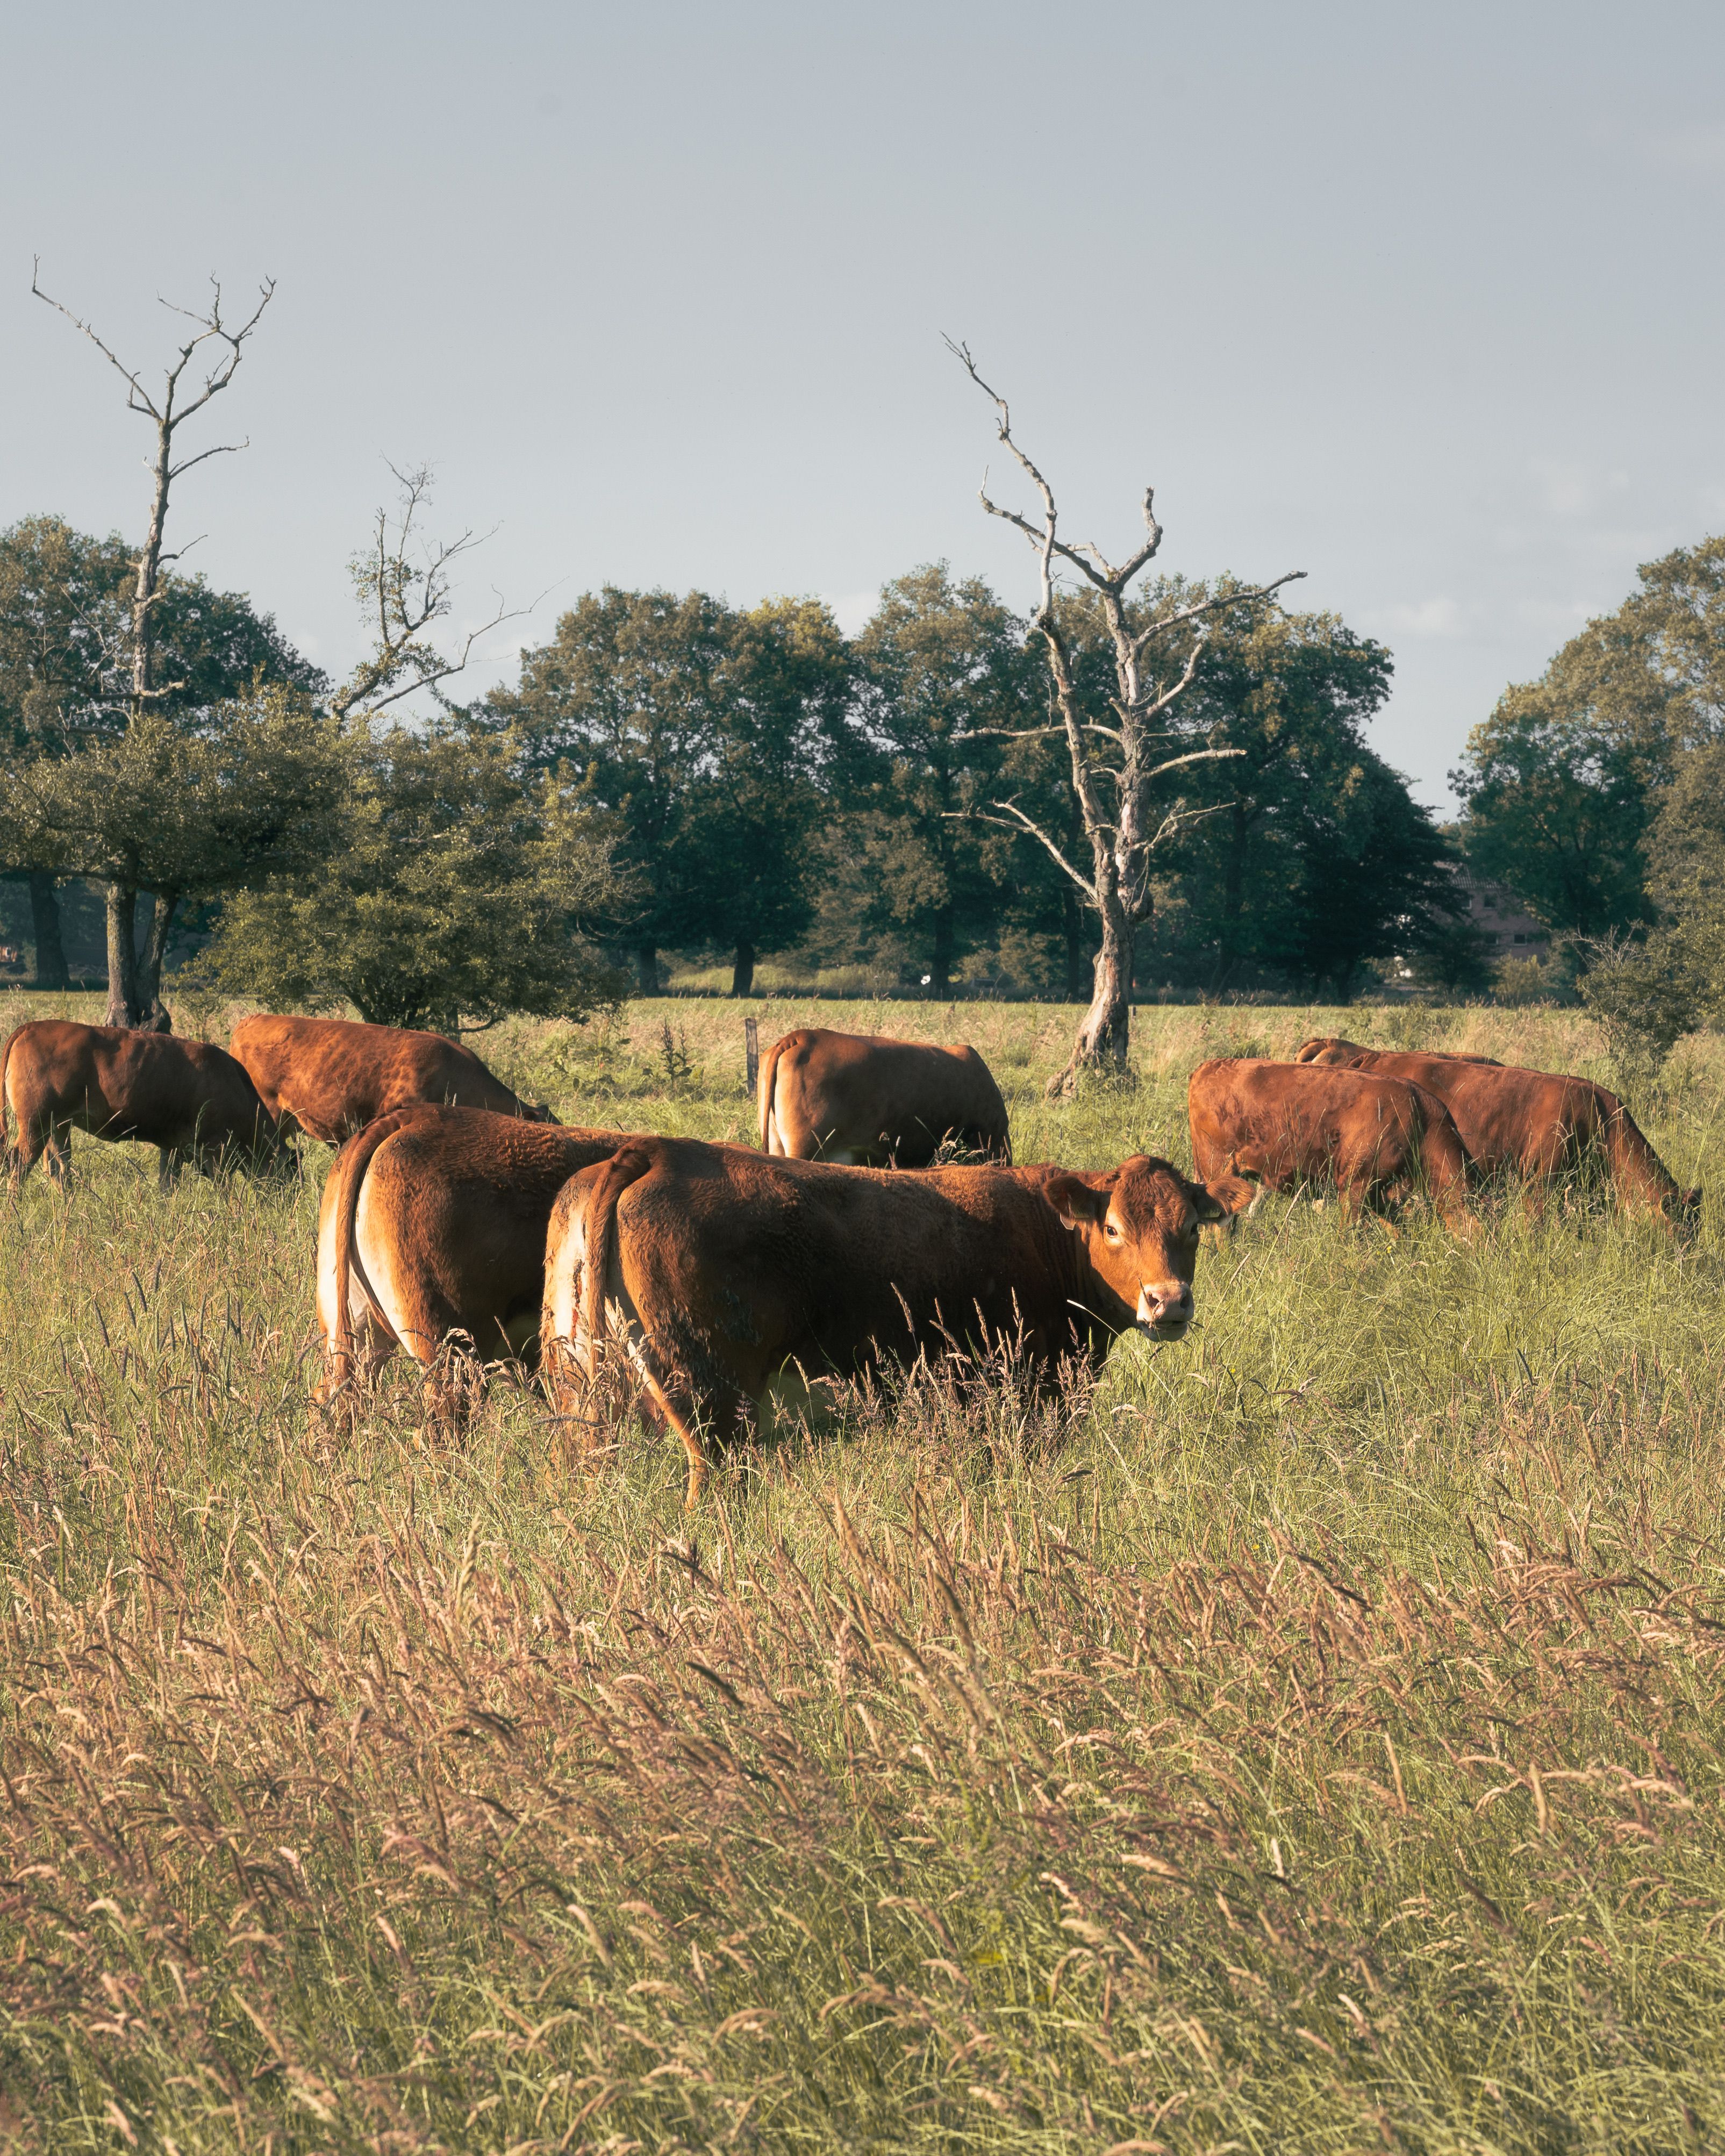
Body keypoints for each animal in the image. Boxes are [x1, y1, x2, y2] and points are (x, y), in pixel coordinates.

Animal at [1, 1019, 282, 1191]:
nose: (286, 1199)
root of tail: (32, 1027)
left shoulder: (173, 1147)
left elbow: (167, 1183)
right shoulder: (217, 1149)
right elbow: (223, 1187)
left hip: (58, 1125)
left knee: (59, 1165)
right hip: (34, 1126)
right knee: (20, 1163)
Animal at [541, 1136, 1253, 1508]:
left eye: (1192, 1228)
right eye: (1112, 1229)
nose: (1167, 1301)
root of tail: (655, 1151)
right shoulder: (1027, 1398)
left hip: (579, 1390)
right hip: (712, 1398)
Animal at [1187, 1057, 1477, 1232]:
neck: (1420, 1119)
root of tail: (1210, 1066)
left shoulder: (1383, 1195)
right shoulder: (1355, 1185)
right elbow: (1351, 1234)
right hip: (1220, 1167)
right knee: (1220, 1228)